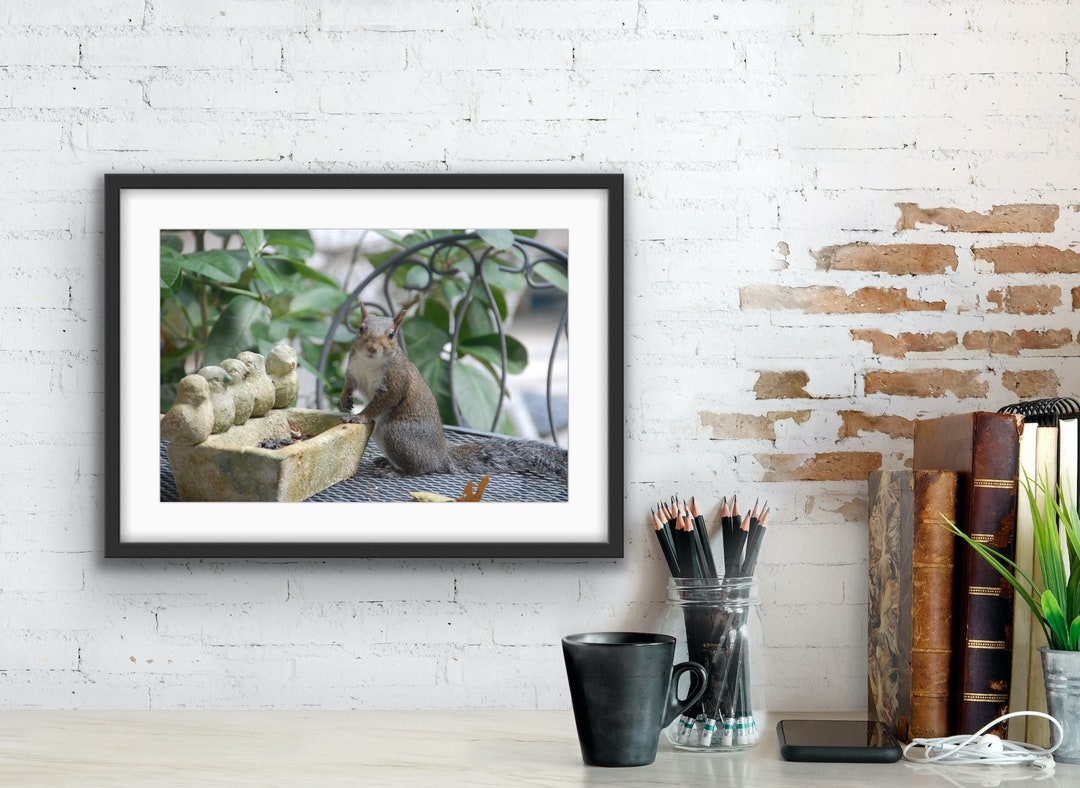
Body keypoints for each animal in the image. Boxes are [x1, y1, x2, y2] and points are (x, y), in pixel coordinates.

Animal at [339, 306, 568, 481]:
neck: (369, 362)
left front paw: (359, 416)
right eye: (360, 329)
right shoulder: (354, 370)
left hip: (397, 434)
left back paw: (395, 471)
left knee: (419, 468)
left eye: (391, 335)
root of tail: (440, 456)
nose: (371, 348)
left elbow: (383, 401)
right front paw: (345, 397)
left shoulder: (396, 381)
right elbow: (350, 382)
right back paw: (385, 460)